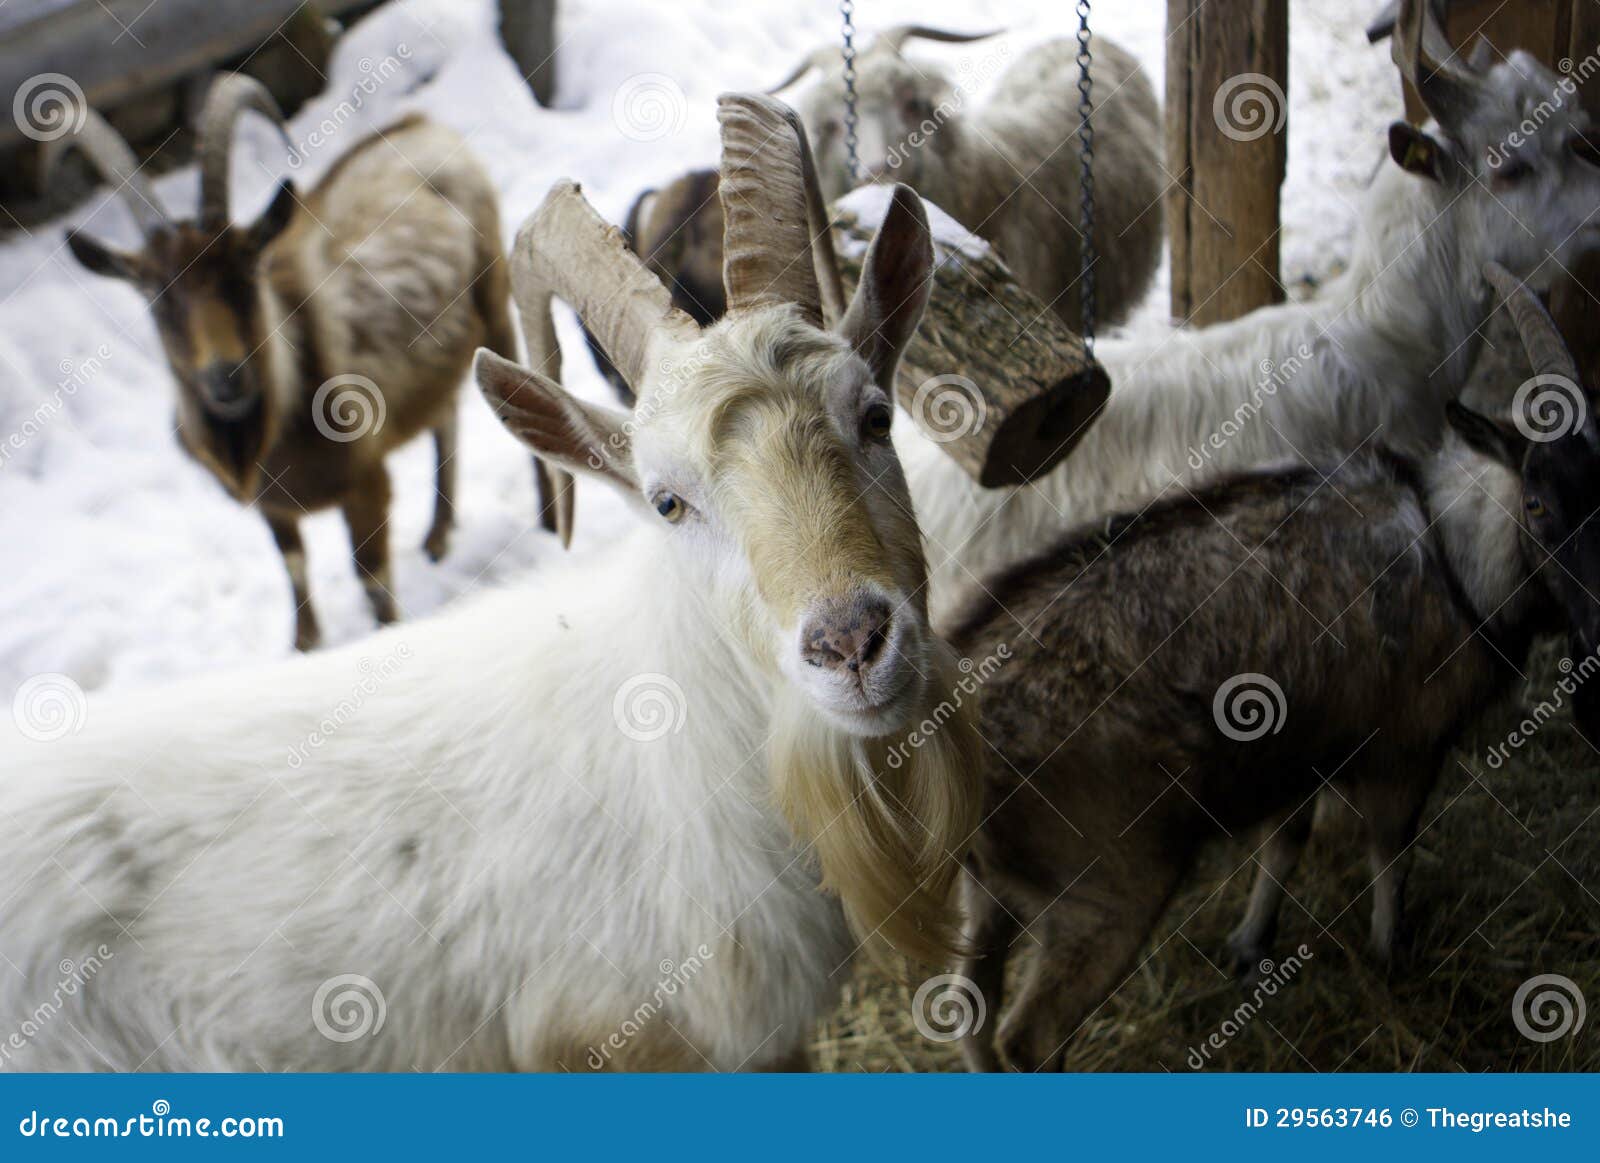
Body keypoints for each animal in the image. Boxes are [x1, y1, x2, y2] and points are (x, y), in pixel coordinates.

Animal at [53, 74, 566, 651]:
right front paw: (303, 645)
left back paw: (546, 524)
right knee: (446, 413)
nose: (225, 379)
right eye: (157, 297)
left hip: (494, 293)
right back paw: (436, 538)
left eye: (246, 273)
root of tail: (420, 124)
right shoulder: (273, 508)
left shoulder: (365, 481)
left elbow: (372, 580)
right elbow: (294, 565)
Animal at [948, 263, 1600, 1072]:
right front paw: (1389, 954)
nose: (1597, 623)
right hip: (1105, 888)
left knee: (969, 1010)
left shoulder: (1302, 747)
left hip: (988, 889)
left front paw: (1252, 942)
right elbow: (1390, 850)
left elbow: (1285, 839)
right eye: (1538, 502)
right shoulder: (1406, 746)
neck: (1455, 553)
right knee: (1027, 1036)